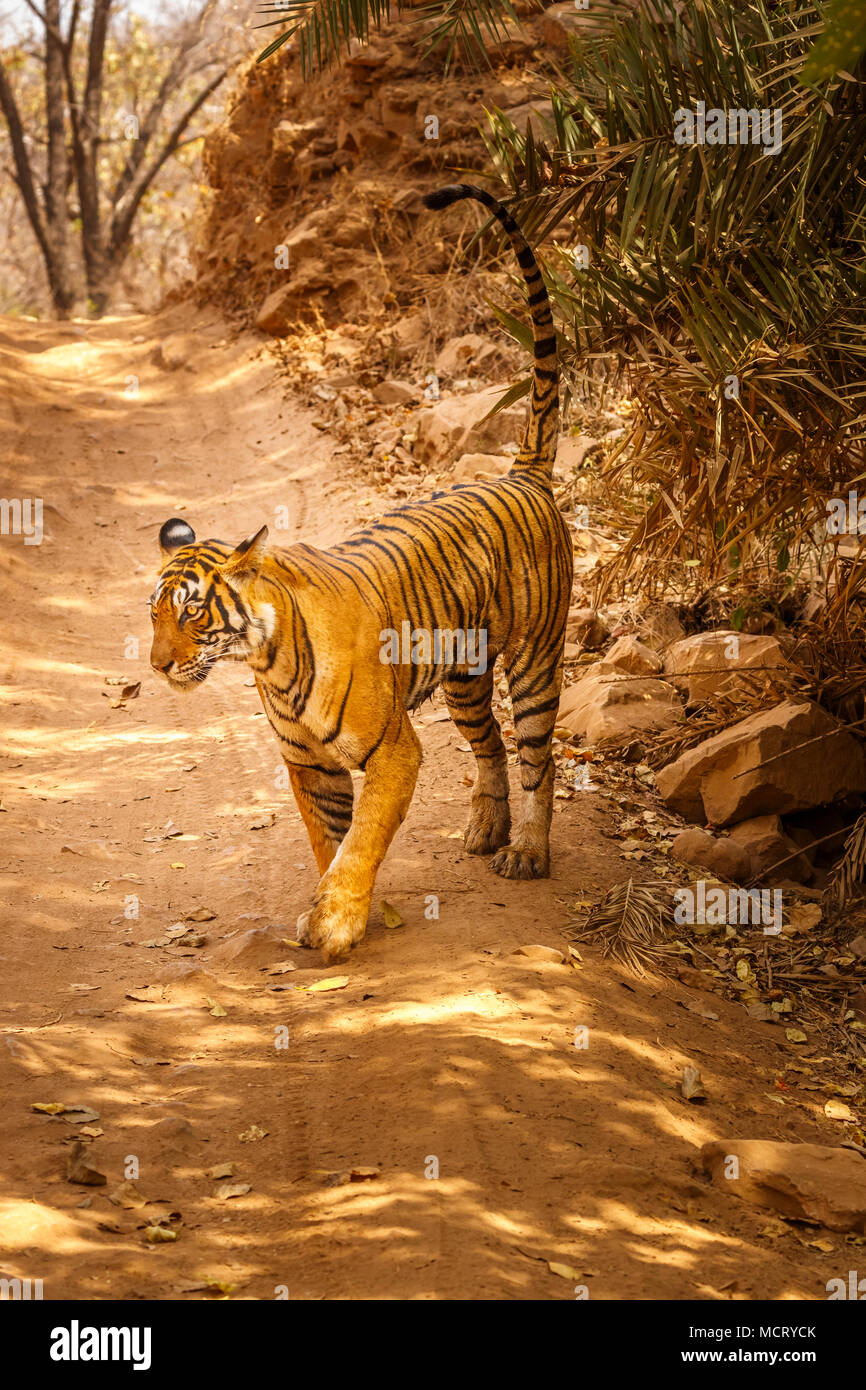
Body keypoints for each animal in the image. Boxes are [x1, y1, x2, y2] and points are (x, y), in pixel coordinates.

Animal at [149, 183, 573, 962]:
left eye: (192, 611)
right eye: (153, 615)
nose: (159, 665)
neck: (269, 662)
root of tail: (520, 473)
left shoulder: (393, 751)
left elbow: (363, 839)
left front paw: (339, 921)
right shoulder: (309, 767)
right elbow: (332, 841)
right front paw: (343, 910)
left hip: (533, 658)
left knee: (537, 754)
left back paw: (527, 850)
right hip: (465, 680)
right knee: (491, 746)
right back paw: (484, 829)